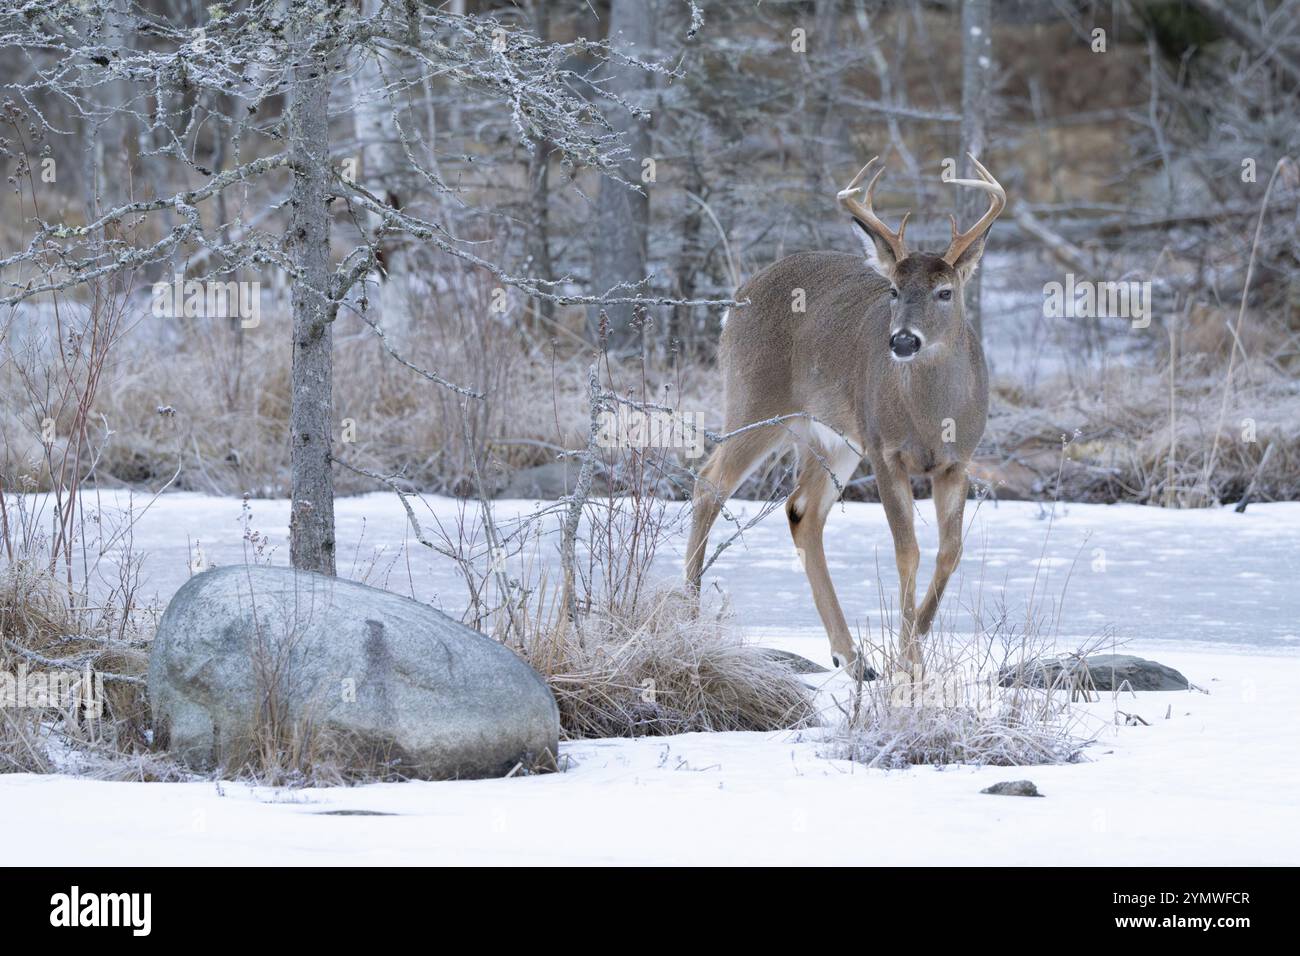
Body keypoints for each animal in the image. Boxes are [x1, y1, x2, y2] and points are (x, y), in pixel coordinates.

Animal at [684, 153, 1005, 680]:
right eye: (893, 290)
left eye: (945, 292)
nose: (903, 341)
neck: (933, 418)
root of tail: (737, 299)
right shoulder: (884, 449)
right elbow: (907, 551)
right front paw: (907, 659)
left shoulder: (957, 461)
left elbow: (950, 552)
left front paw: (915, 644)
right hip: (758, 401)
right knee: (710, 480)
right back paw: (690, 613)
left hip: (833, 437)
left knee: (801, 509)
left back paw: (851, 657)